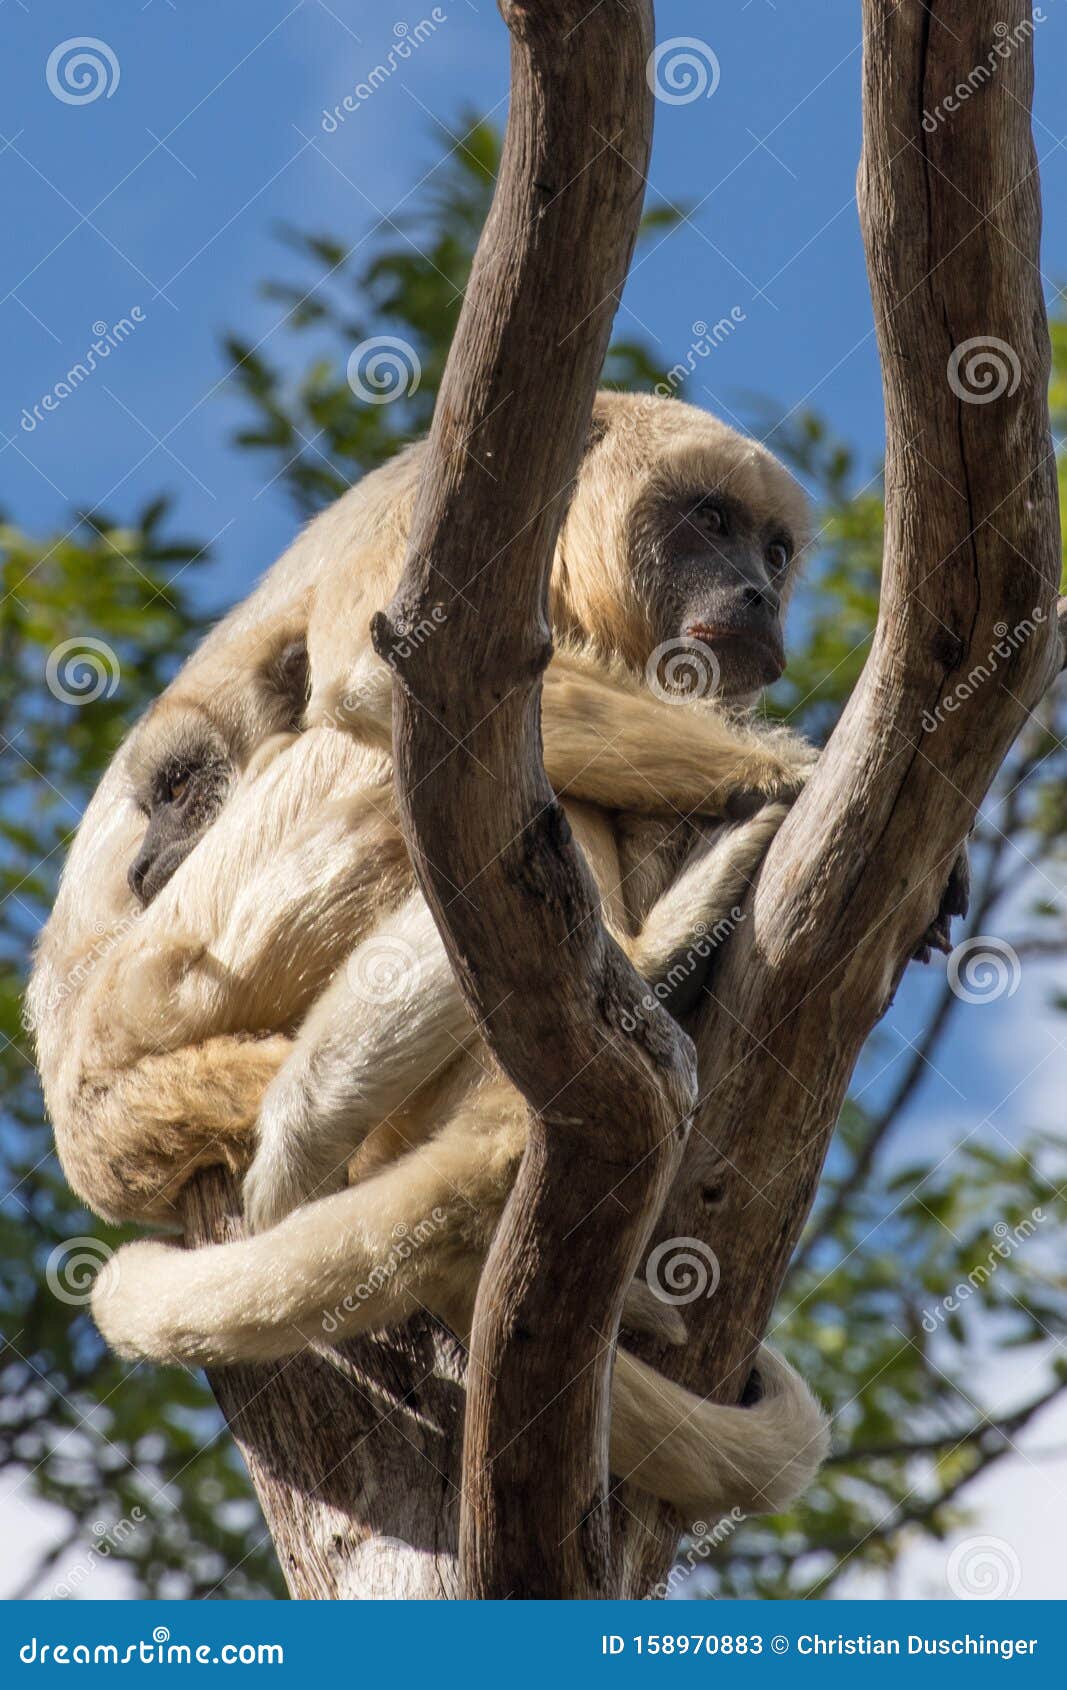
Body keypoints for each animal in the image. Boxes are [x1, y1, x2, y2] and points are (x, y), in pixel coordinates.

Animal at [30, 392, 832, 1521]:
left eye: (773, 549)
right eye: (709, 522)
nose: (758, 591)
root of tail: (83, 1119)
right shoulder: (437, 511)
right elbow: (376, 679)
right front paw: (789, 766)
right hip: (172, 973)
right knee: (401, 759)